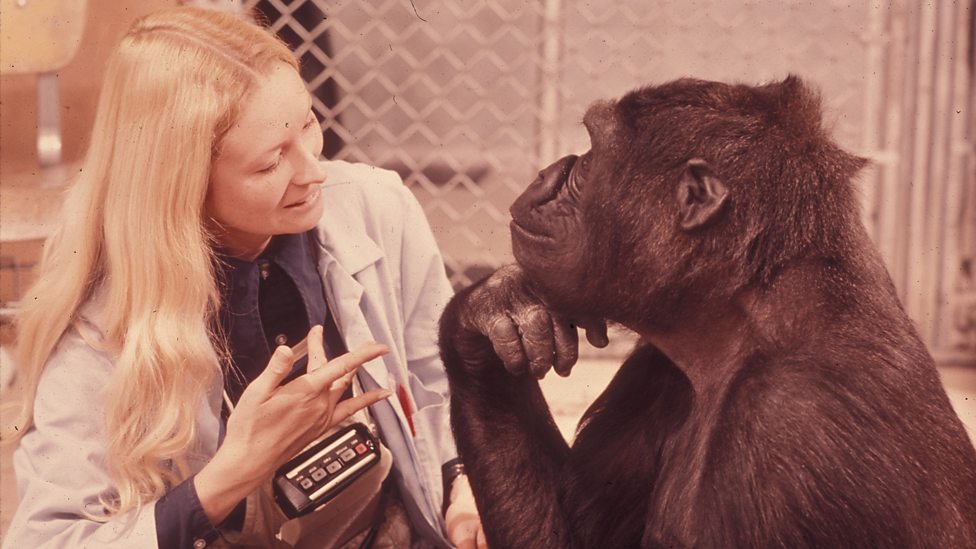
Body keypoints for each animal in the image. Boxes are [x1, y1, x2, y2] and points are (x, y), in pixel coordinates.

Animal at [438, 76, 976, 548]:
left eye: (590, 154)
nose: (546, 174)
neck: (741, 314)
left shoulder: (786, 426)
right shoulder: (654, 365)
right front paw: (497, 306)